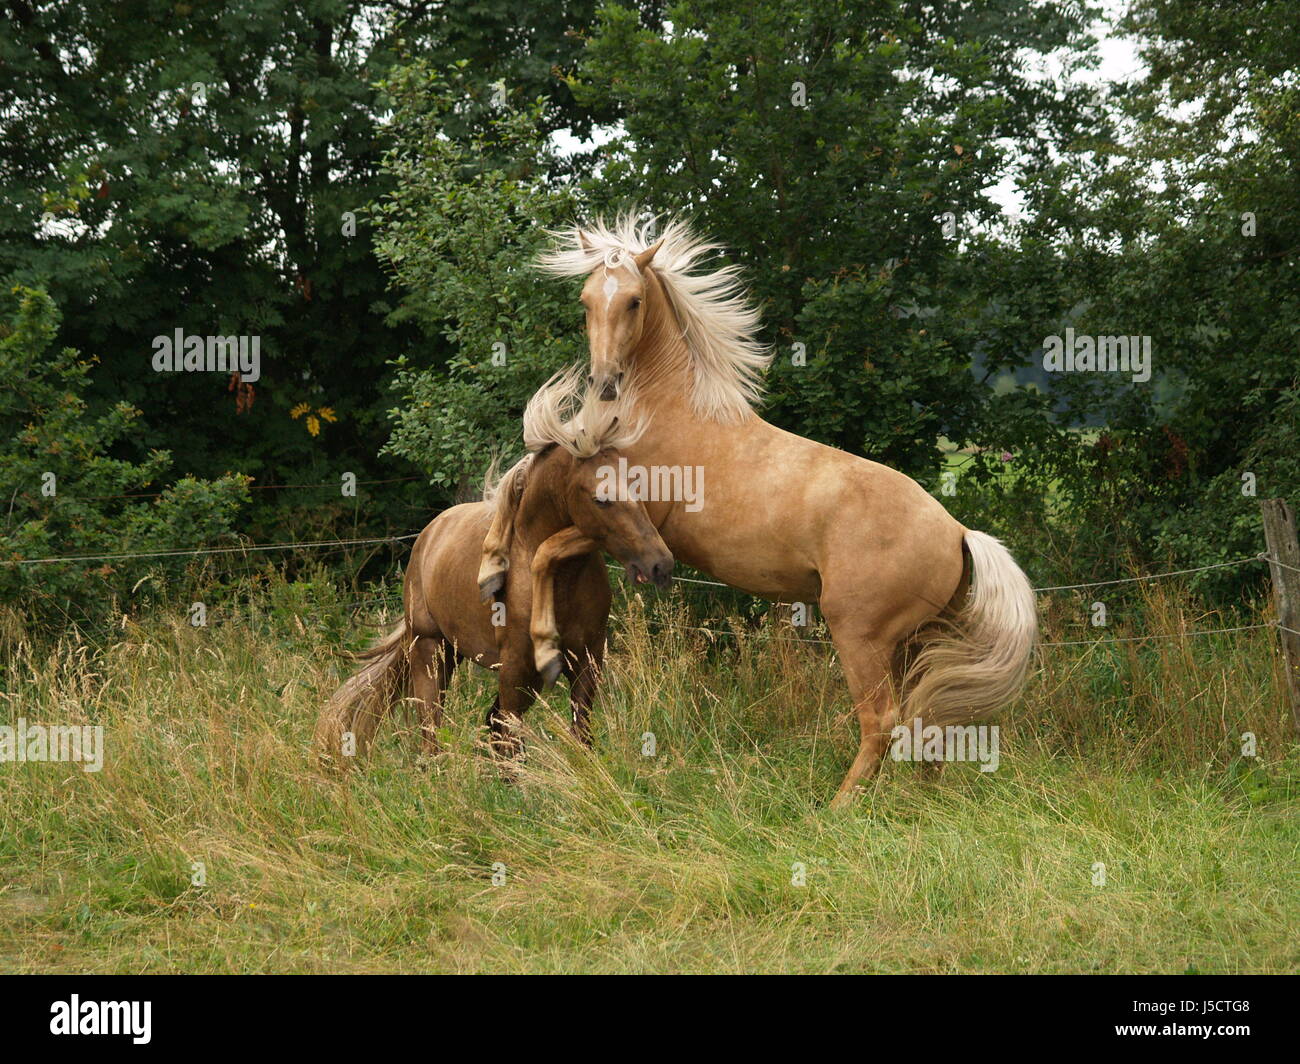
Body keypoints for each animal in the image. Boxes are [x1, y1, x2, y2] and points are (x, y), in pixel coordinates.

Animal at [317, 371, 674, 768]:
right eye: (602, 498)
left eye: (639, 486)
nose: (660, 563)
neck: (562, 584)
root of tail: (429, 534)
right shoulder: (516, 667)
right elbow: (510, 737)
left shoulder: (587, 660)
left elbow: (579, 734)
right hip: (431, 650)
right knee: (433, 728)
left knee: (489, 723)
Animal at [514, 214, 1037, 806]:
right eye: (585, 299)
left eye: (632, 301)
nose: (604, 383)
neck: (665, 415)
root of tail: (957, 531)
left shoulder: (632, 530)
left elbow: (544, 550)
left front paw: (542, 644)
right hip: (917, 641)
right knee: (926, 722)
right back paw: (921, 803)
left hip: (861, 635)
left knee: (881, 721)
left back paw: (838, 808)